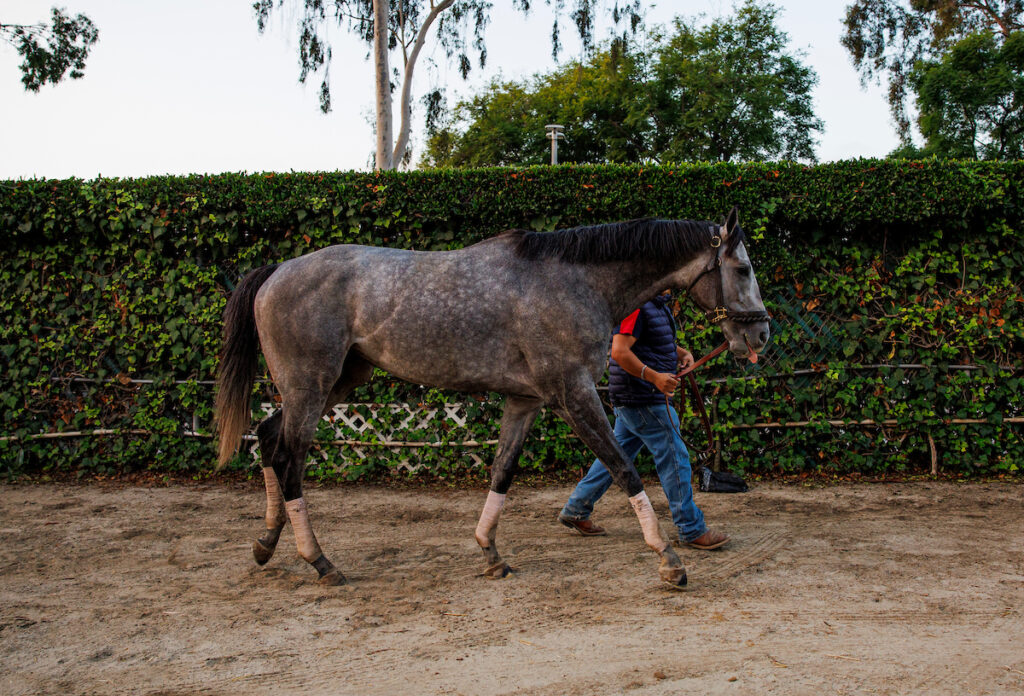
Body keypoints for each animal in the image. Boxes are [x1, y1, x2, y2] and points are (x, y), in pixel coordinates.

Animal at [215, 207, 770, 587]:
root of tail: (276, 271)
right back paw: (320, 562)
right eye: (742, 270)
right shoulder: (573, 394)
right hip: (311, 385)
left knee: (268, 438)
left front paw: (490, 553)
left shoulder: (526, 401)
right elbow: (624, 468)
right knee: (289, 459)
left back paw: (266, 545)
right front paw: (668, 559)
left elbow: (503, 472)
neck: (573, 280)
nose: (760, 335)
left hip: (335, 383)